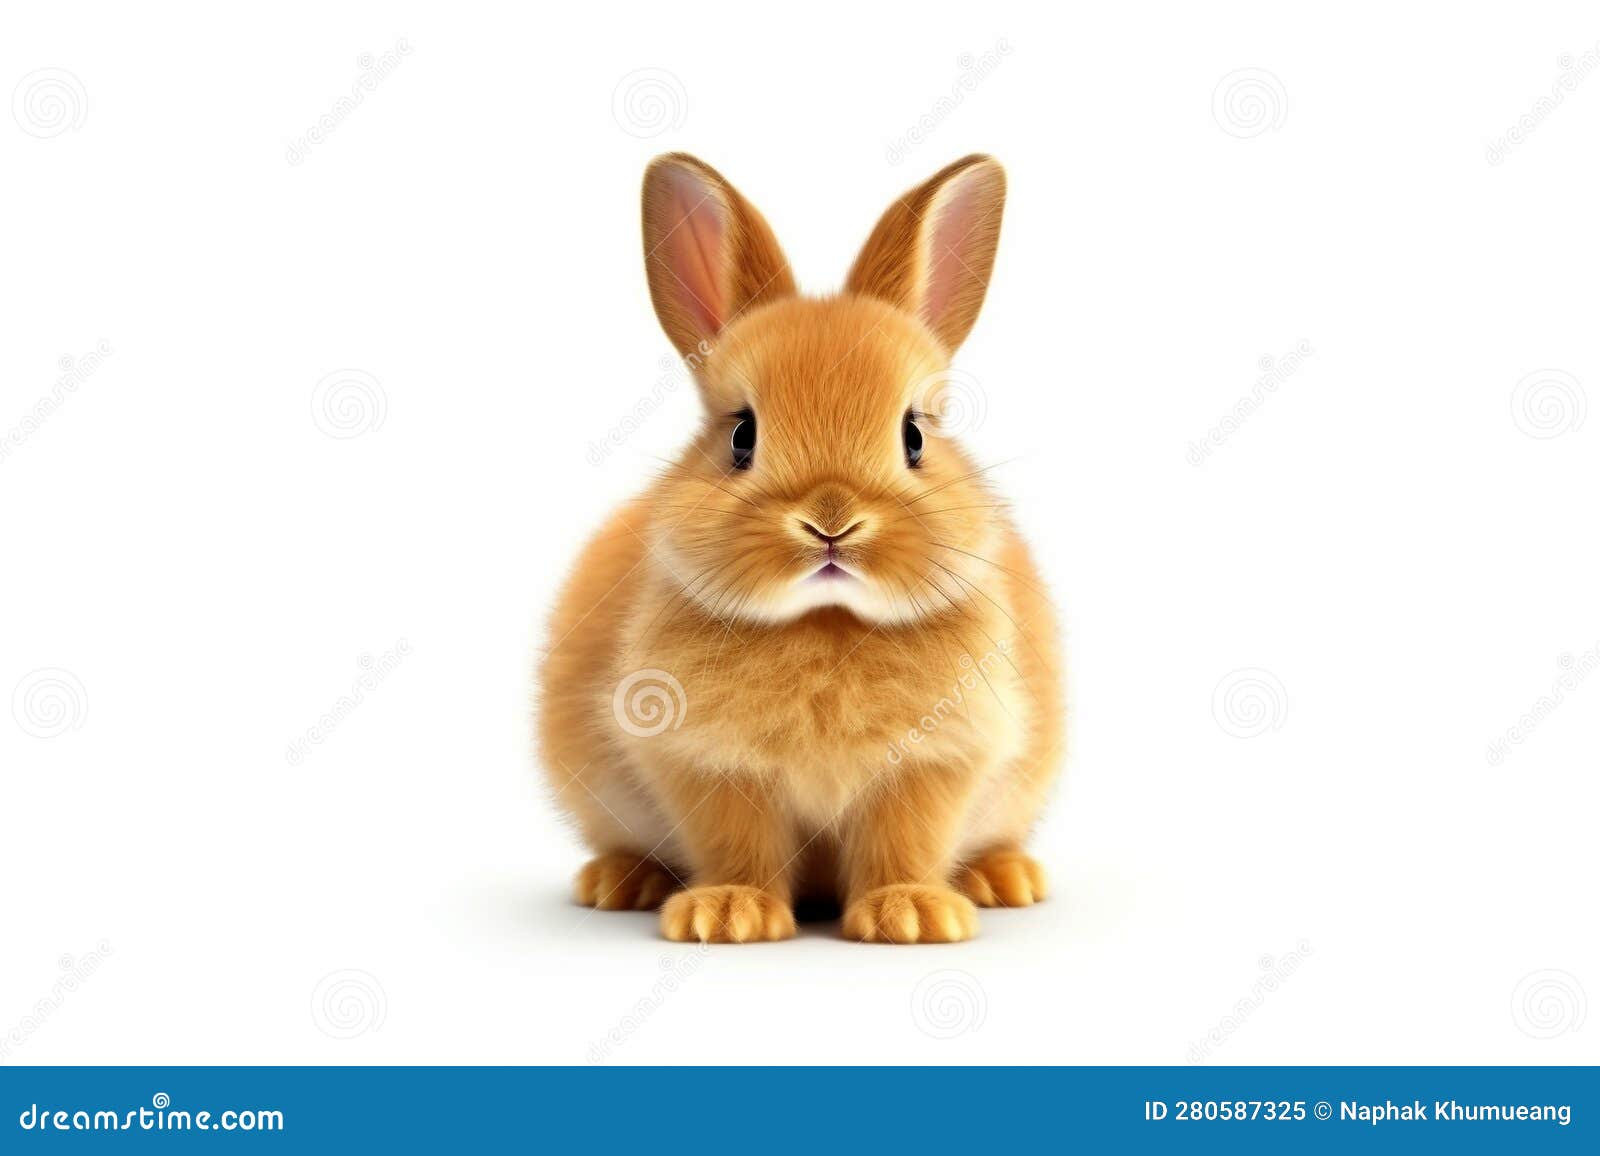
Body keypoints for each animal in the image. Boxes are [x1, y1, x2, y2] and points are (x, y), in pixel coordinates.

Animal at [538, 152, 1063, 943]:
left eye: (914, 435)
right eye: (741, 435)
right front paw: (729, 914)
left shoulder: (937, 762)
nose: (831, 520)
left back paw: (1005, 879)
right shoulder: (708, 766)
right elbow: (739, 844)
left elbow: (905, 839)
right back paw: (621, 882)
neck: (827, 623)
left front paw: (912, 915)